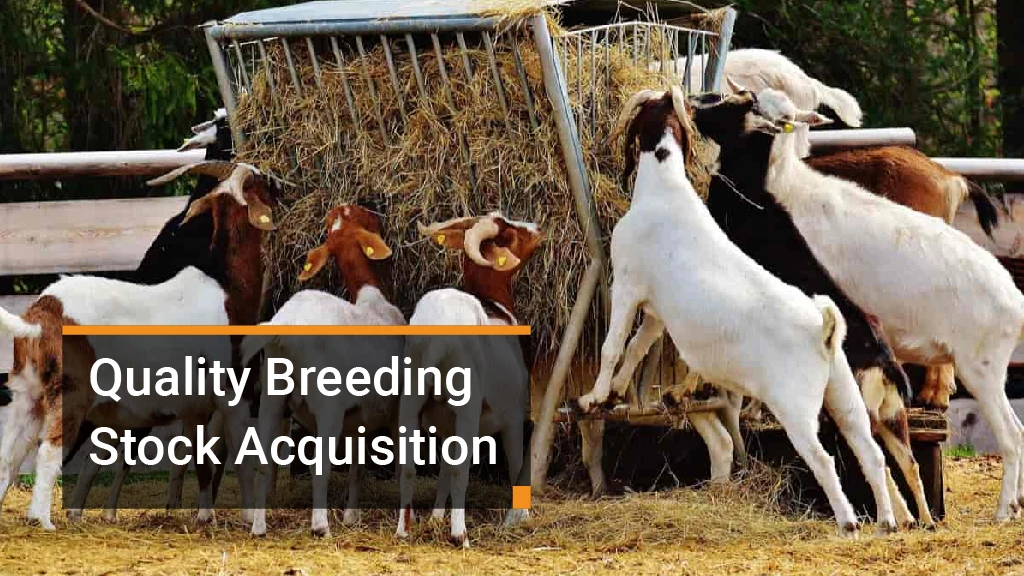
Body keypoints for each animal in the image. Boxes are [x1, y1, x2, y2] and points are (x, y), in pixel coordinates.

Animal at [241, 204, 405, 538]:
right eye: (363, 216)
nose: (378, 214)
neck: (371, 298)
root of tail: (284, 329)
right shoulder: (392, 406)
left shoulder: (359, 414)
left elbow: (357, 466)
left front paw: (352, 515)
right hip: (327, 403)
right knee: (320, 465)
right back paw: (320, 527)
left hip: (271, 399)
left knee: (263, 462)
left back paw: (259, 527)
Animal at [395, 212, 539, 547]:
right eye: (509, 233)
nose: (537, 229)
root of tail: (437, 329)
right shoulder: (513, 416)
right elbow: (516, 464)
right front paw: (520, 517)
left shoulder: (444, 425)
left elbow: (443, 471)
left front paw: (435, 518)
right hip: (467, 404)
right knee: (462, 469)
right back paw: (460, 535)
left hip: (411, 399)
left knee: (409, 466)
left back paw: (403, 531)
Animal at [578, 87, 896, 536]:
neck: (666, 188)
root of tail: (823, 329)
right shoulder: (657, 310)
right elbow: (638, 346)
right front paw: (621, 391)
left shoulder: (626, 286)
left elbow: (613, 345)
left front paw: (595, 396)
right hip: (844, 393)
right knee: (871, 452)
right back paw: (887, 521)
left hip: (795, 406)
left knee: (824, 459)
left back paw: (848, 522)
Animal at [714, 84, 1024, 521]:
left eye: (756, 106)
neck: (789, 189)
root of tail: (1016, 302)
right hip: (990, 370)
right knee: (1019, 431)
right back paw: (1015, 503)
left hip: (980, 367)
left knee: (1011, 436)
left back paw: (1002, 511)